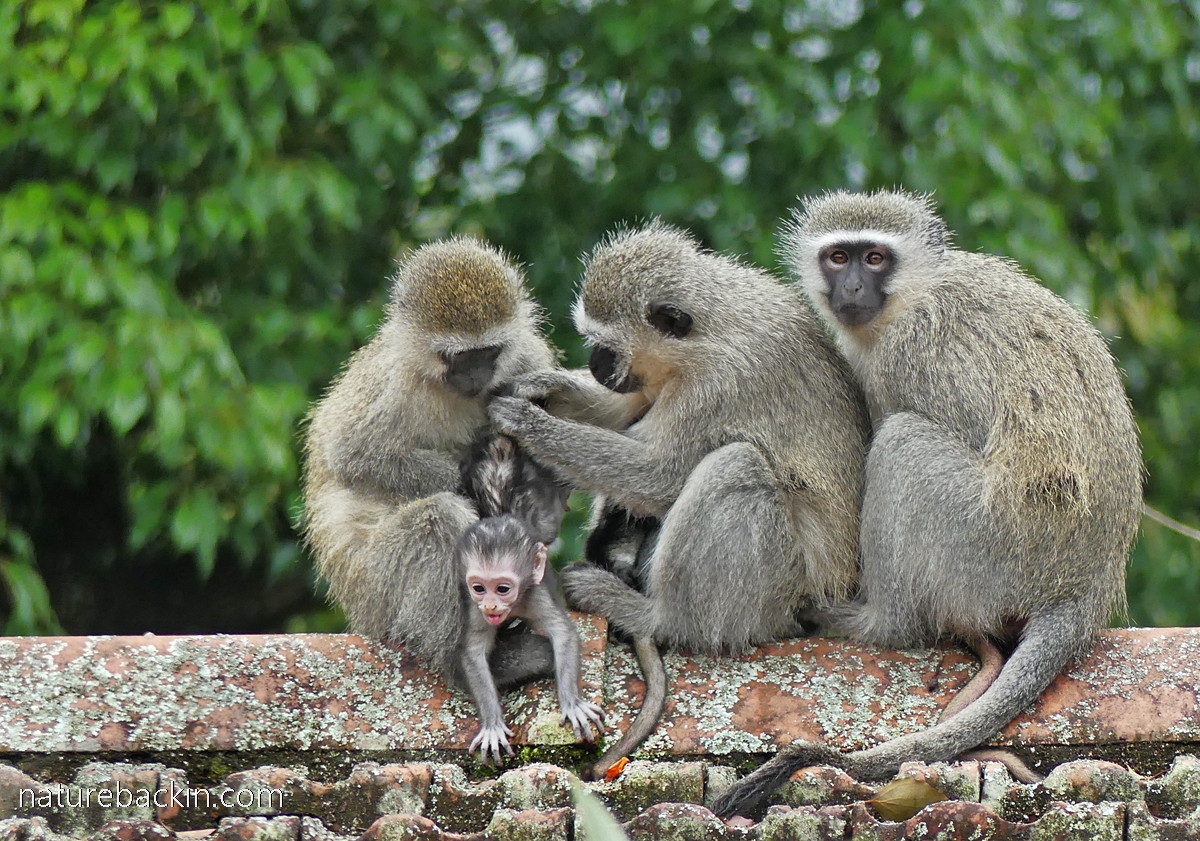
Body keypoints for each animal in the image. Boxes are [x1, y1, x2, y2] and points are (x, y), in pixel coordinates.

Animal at [301, 236, 559, 689]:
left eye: (488, 352)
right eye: (458, 357)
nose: (476, 378)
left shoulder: (529, 360)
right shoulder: (394, 383)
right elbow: (353, 454)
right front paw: (471, 472)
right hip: (375, 590)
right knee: (436, 520)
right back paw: (476, 663)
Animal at [487, 222, 872, 772]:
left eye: (607, 346)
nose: (594, 364)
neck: (708, 332)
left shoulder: (718, 384)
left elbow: (658, 475)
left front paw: (526, 420)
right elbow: (623, 409)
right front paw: (543, 384)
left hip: (786, 585)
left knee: (734, 464)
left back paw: (657, 615)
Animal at [711, 189, 1143, 818]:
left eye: (874, 258)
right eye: (838, 257)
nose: (852, 289)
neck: (913, 295)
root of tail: (1088, 582)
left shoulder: (907, 356)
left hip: (994, 544)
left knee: (901, 444)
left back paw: (880, 622)